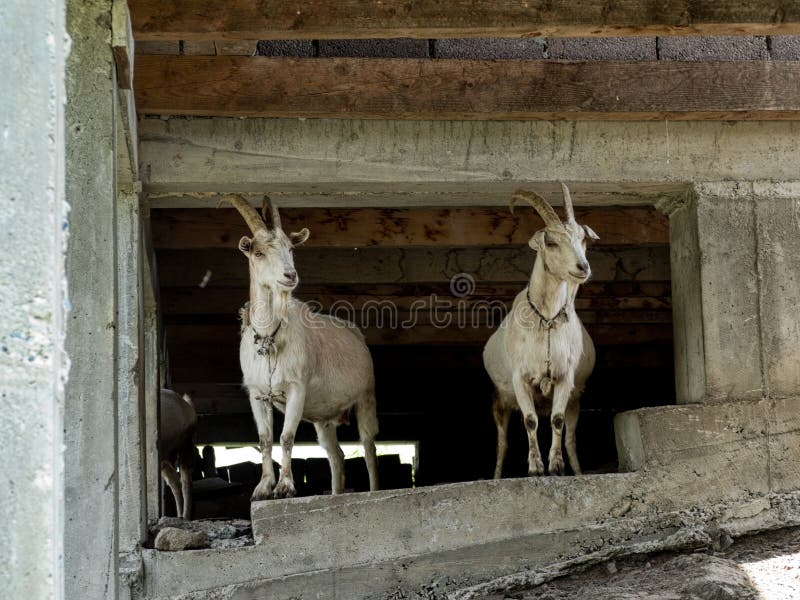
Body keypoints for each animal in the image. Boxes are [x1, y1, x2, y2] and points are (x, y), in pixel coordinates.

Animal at [160, 388, 197, 519]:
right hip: (166, 458)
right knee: (175, 483)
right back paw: (179, 516)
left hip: (186, 446)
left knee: (185, 482)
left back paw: (185, 516)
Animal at [223, 195, 379, 499]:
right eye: (258, 253)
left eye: (291, 248)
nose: (289, 275)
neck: (269, 337)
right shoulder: (257, 393)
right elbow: (265, 439)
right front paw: (263, 488)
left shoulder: (297, 387)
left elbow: (286, 437)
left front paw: (285, 487)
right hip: (323, 417)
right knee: (336, 455)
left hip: (366, 395)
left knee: (369, 447)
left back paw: (374, 489)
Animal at [483, 184, 598, 478]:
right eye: (552, 242)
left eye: (583, 239)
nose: (583, 268)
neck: (545, 320)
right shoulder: (519, 378)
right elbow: (530, 420)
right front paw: (535, 467)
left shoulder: (565, 378)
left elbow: (557, 422)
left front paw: (556, 466)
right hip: (499, 399)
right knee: (502, 443)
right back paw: (497, 476)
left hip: (576, 399)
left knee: (570, 437)